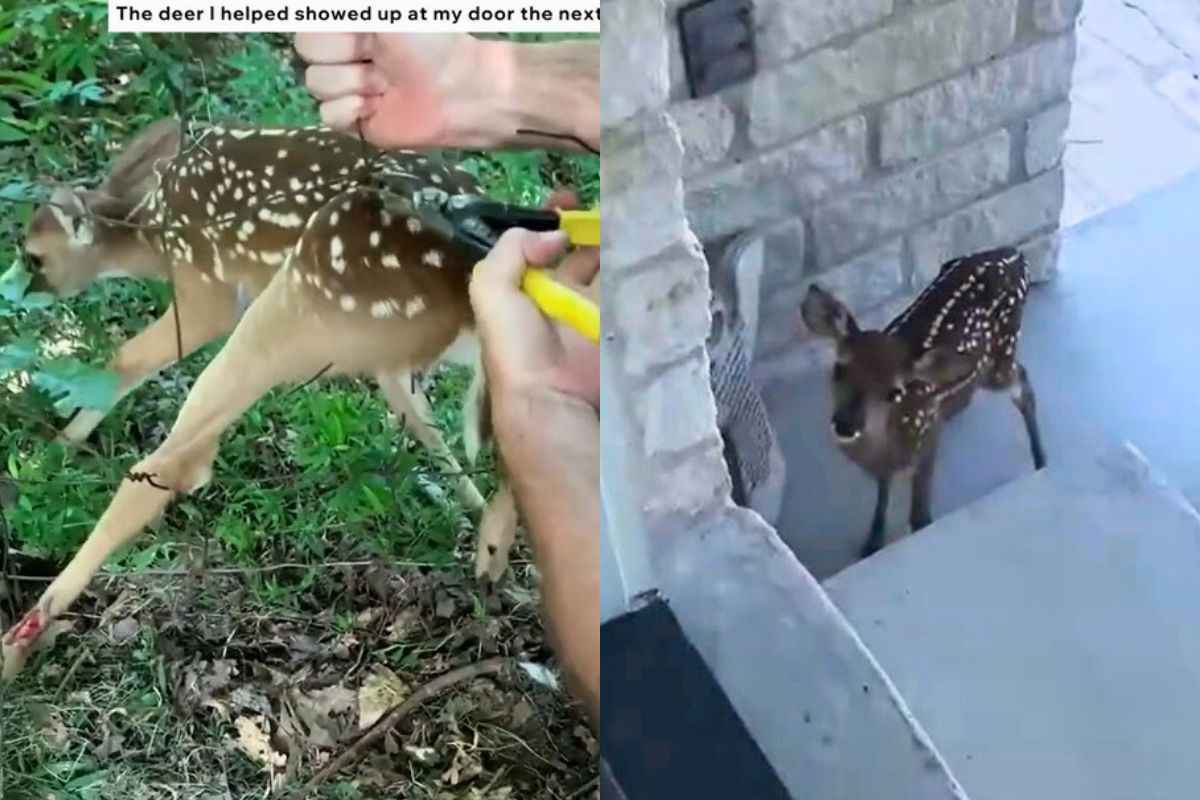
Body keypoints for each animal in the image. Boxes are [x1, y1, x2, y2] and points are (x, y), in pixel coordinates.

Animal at [3, 117, 550, 680]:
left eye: (34, 255)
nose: (23, 291)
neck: (151, 233)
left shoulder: (209, 294)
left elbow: (125, 361)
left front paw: (59, 445)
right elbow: (429, 422)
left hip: (303, 308)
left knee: (172, 463)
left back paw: (22, 638)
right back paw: (494, 550)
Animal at [801, 246, 1046, 559]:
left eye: (894, 392)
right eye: (839, 369)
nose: (847, 424)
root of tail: (1016, 254)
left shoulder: (927, 445)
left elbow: (920, 517)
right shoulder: (887, 463)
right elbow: (882, 492)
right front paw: (872, 542)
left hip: (1001, 355)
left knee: (1022, 381)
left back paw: (1041, 459)